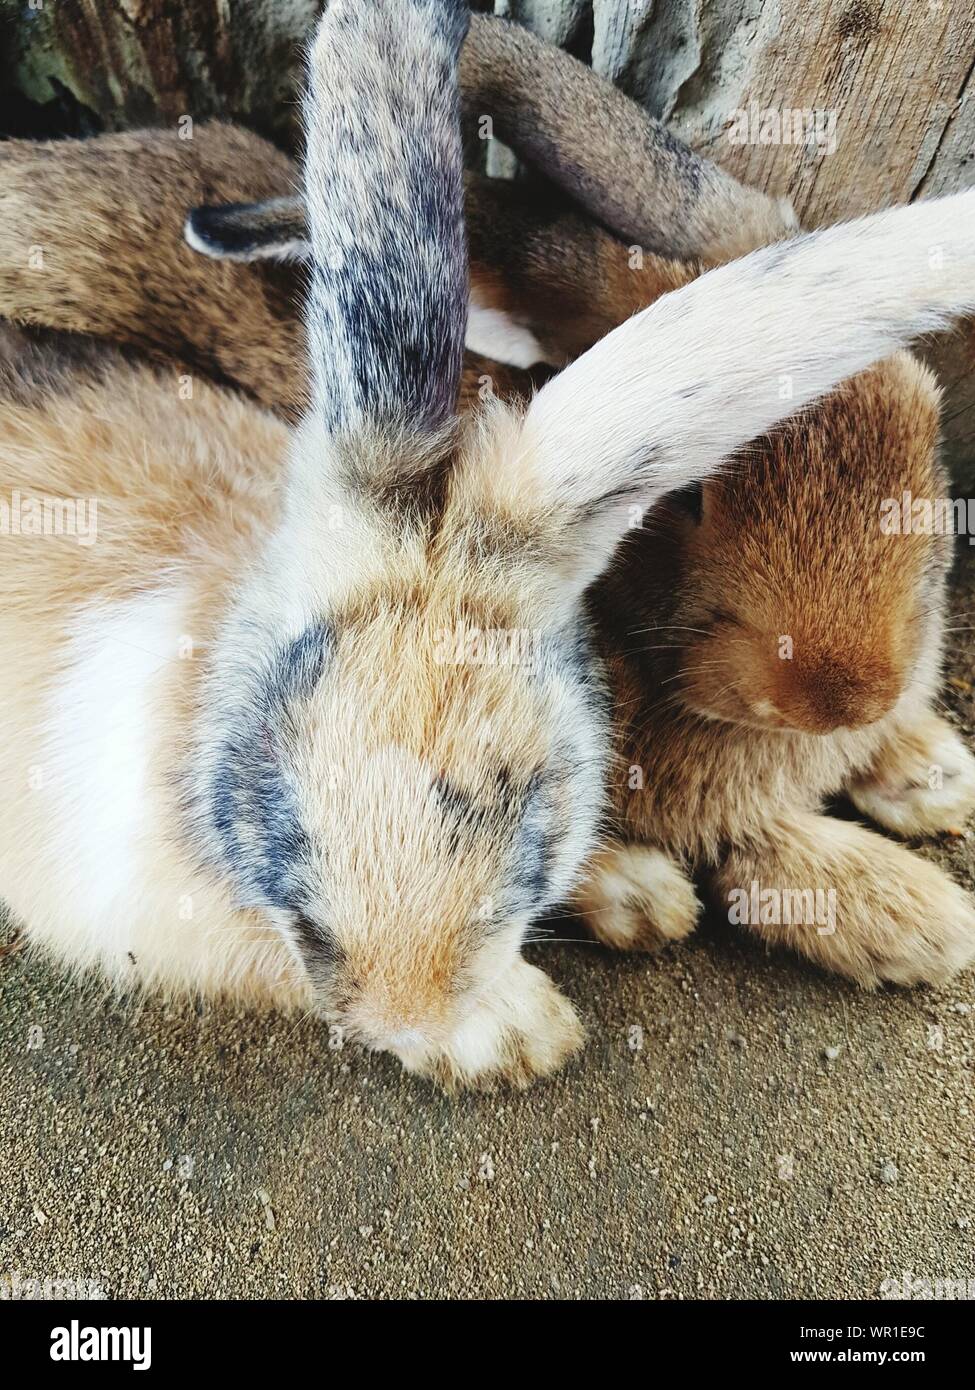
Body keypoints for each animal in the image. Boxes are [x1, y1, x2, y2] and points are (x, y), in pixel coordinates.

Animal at [4, 0, 975, 1091]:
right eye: (690, 500)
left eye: (923, 420)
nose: (854, 691)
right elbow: (755, 856)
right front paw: (918, 918)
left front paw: (931, 773)